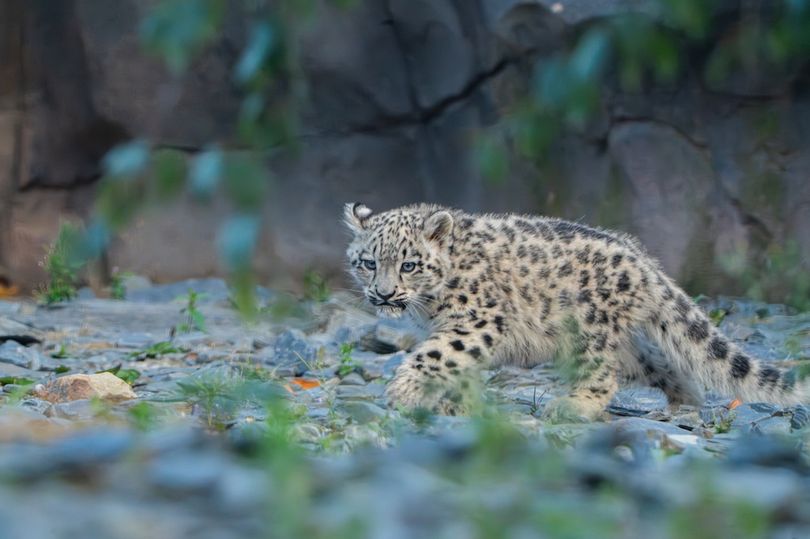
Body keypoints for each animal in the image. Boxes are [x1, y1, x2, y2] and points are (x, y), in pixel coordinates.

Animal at [344, 202, 808, 420]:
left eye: (409, 264)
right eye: (368, 262)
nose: (383, 294)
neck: (430, 307)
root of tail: (642, 261)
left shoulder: (475, 321)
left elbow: (437, 355)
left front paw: (403, 391)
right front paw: (451, 403)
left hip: (588, 330)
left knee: (603, 374)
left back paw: (575, 405)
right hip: (625, 345)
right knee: (660, 365)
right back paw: (683, 402)